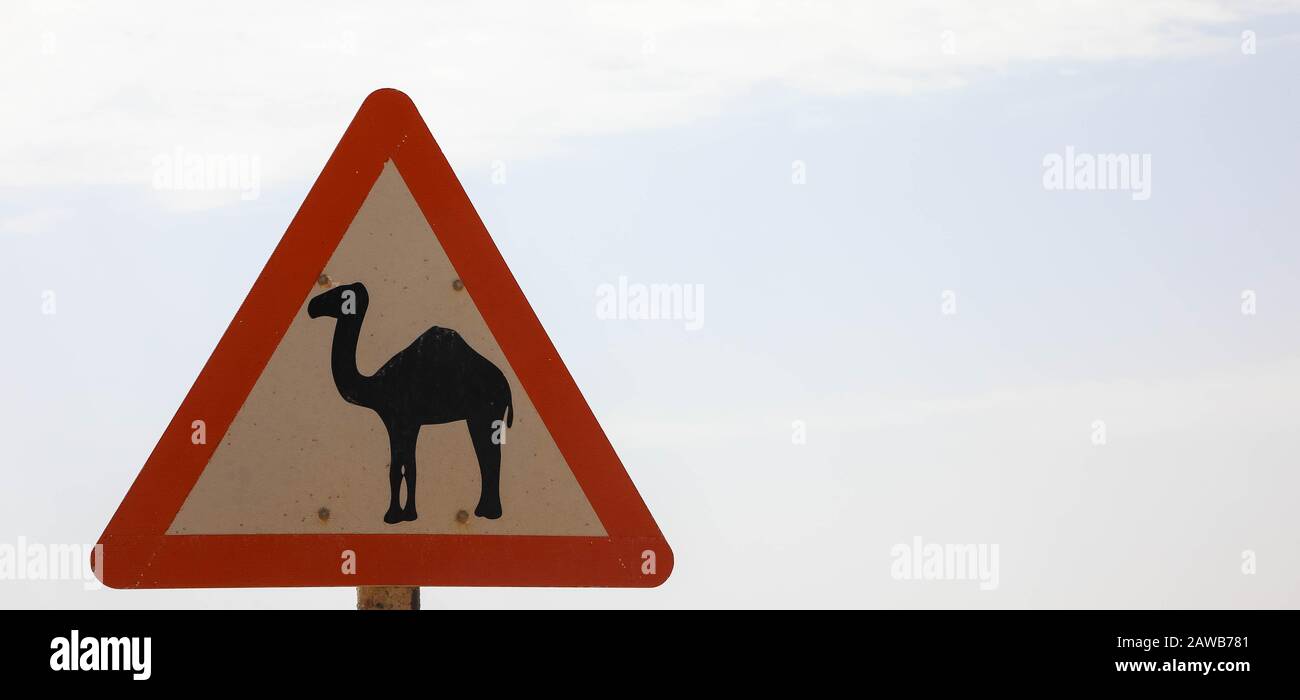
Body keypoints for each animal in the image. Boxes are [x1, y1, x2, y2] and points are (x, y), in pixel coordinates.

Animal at [307, 282, 513, 524]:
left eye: (339, 294)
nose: (311, 306)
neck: (376, 385)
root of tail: (505, 383)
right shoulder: (398, 422)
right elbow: (405, 468)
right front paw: (404, 514)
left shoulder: (404, 419)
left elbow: (402, 468)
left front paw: (395, 516)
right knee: (487, 455)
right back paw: (484, 511)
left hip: (485, 412)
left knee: (489, 456)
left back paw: (490, 513)